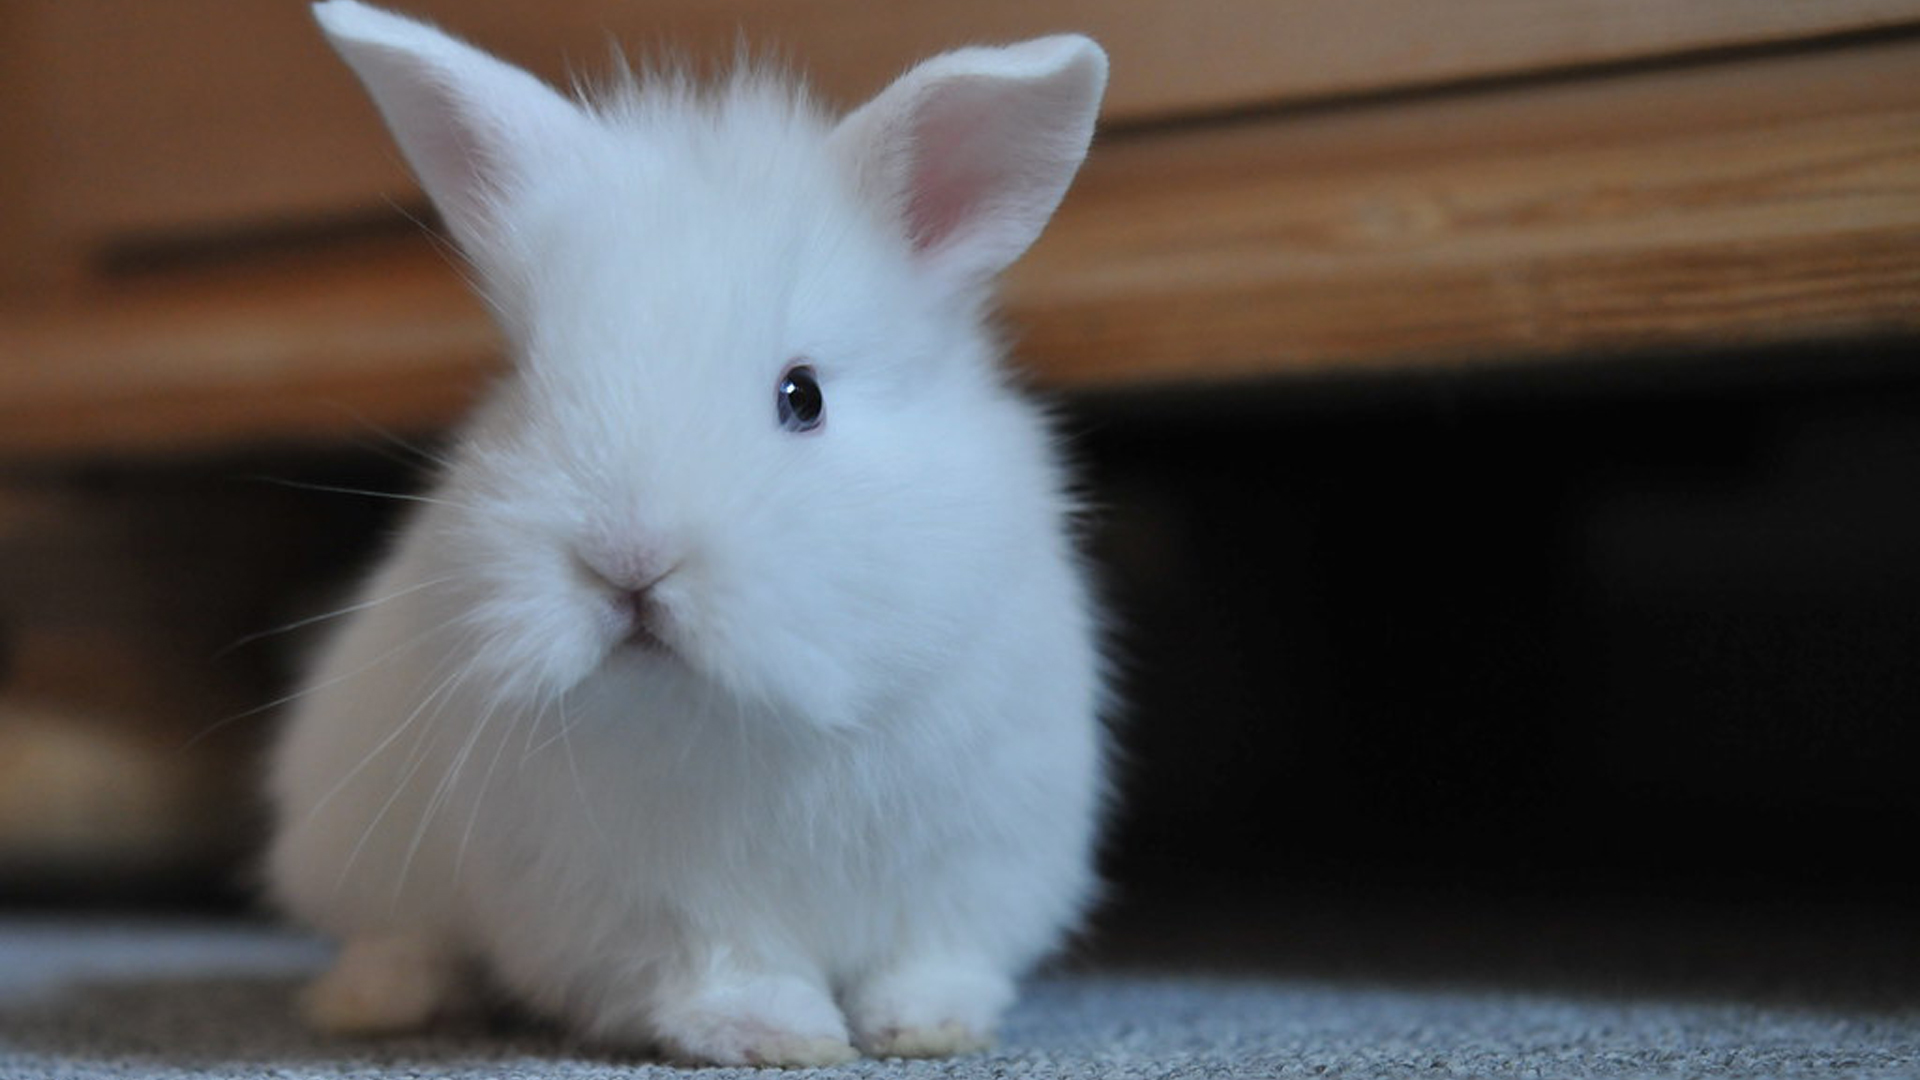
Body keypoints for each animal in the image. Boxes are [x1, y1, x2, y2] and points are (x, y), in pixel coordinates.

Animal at [265, 1, 1110, 1067]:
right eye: (527, 390)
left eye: (804, 396)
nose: (628, 565)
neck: (743, 719)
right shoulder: (641, 907)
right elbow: (715, 971)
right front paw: (779, 1035)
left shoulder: (974, 857)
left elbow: (936, 955)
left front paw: (926, 1027)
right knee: (395, 934)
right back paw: (376, 1001)